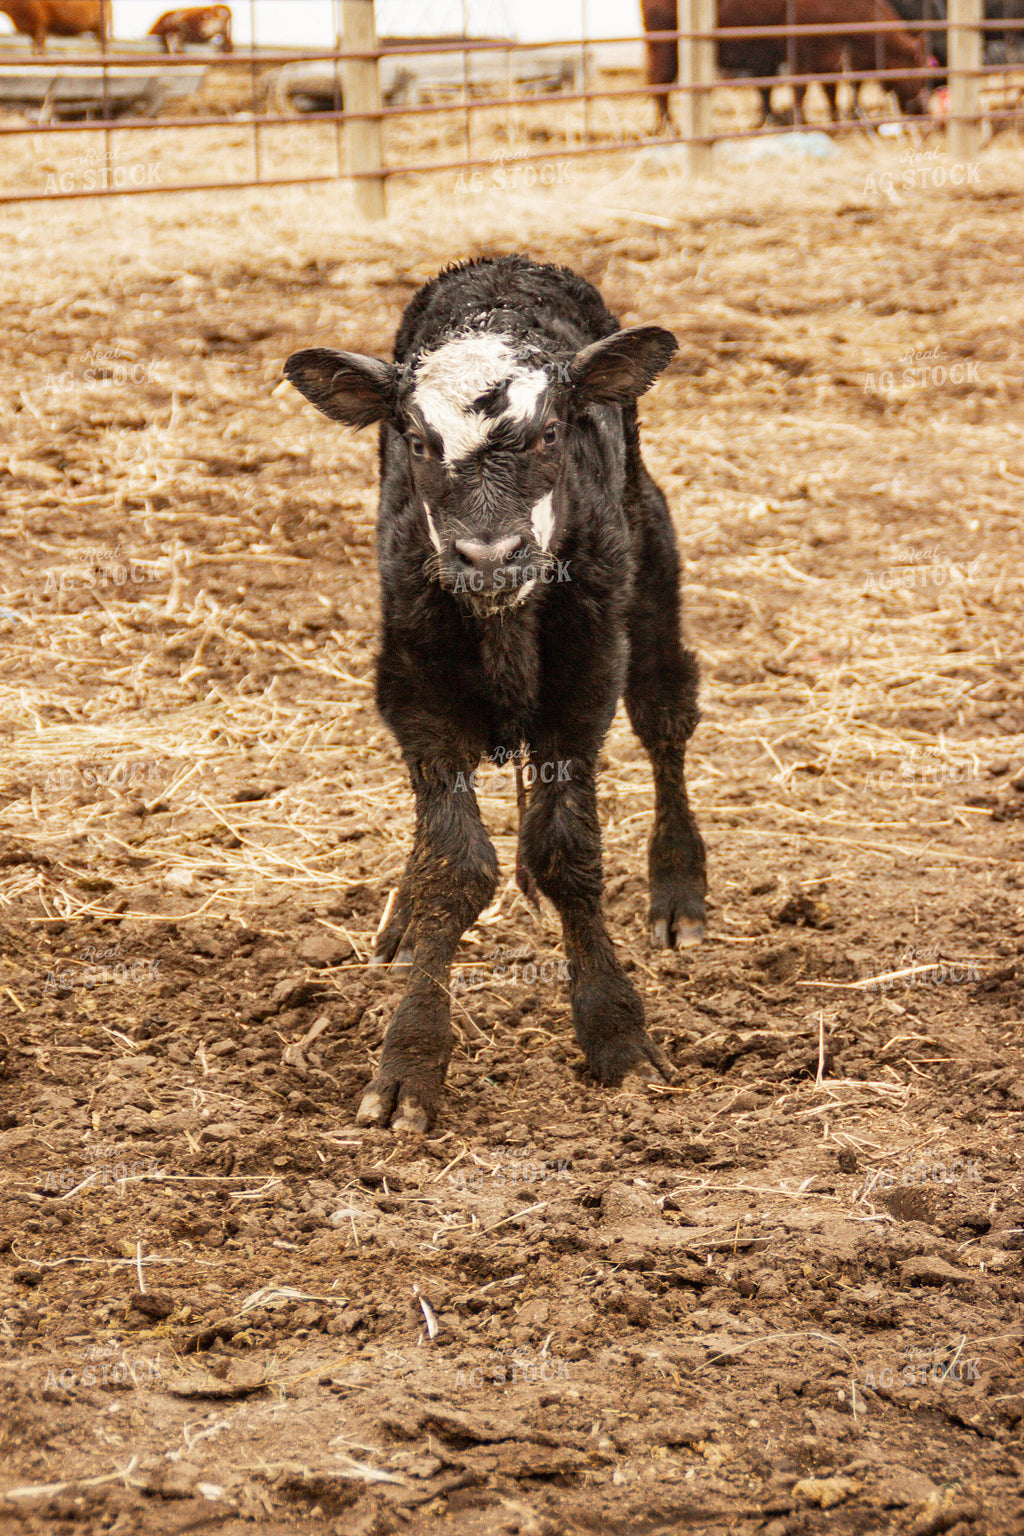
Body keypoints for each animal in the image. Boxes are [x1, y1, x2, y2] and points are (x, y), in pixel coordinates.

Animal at [284, 256, 707, 1134]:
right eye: (416, 440)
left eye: (548, 434)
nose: (488, 555)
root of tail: (504, 268)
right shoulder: (412, 685)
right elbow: (457, 862)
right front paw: (410, 1060)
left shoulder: (585, 682)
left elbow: (565, 851)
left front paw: (616, 1032)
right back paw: (407, 916)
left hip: (651, 551)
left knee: (666, 714)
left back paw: (680, 887)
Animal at [642, 0, 929, 131]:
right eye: (918, 67)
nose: (923, 110)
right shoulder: (807, 52)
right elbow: (803, 90)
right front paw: (801, 121)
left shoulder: (827, 58)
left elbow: (829, 91)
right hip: (665, 49)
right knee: (659, 87)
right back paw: (669, 128)